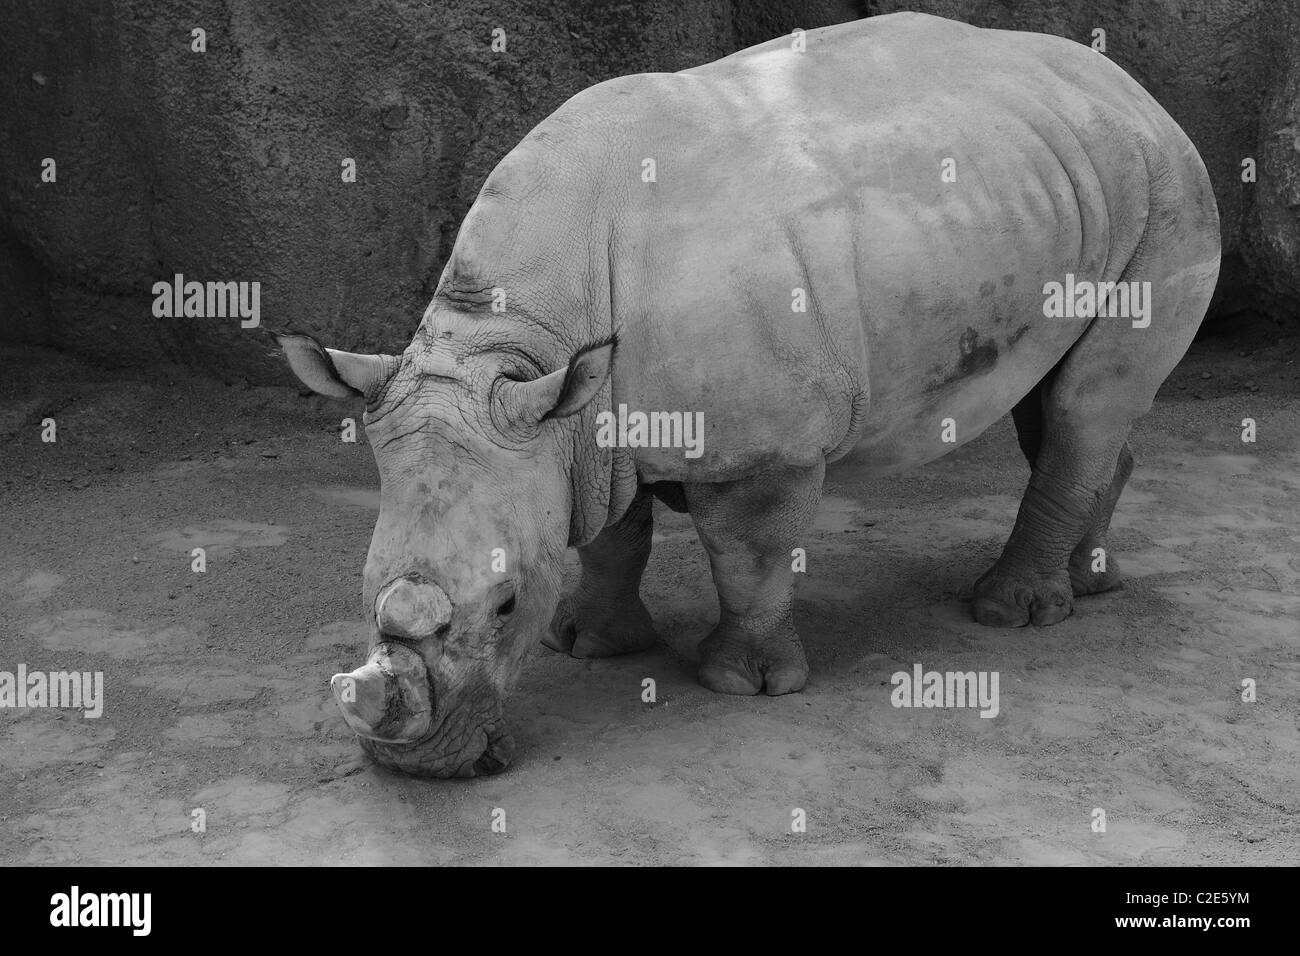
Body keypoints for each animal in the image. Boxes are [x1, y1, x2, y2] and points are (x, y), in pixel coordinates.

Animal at [275, 12, 1220, 777]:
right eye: (362, 590)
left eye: (504, 605)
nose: (419, 768)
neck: (510, 339)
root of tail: (1135, 90)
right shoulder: (580, 419)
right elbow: (613, 534)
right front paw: (587, 645)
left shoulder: (765, 444)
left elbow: (748, 552)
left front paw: (744, 681)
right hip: (1073, 183)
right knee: (1065, 408)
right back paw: (1093, 584)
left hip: (1170, 189)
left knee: (1082, 405)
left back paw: (1010, 614)